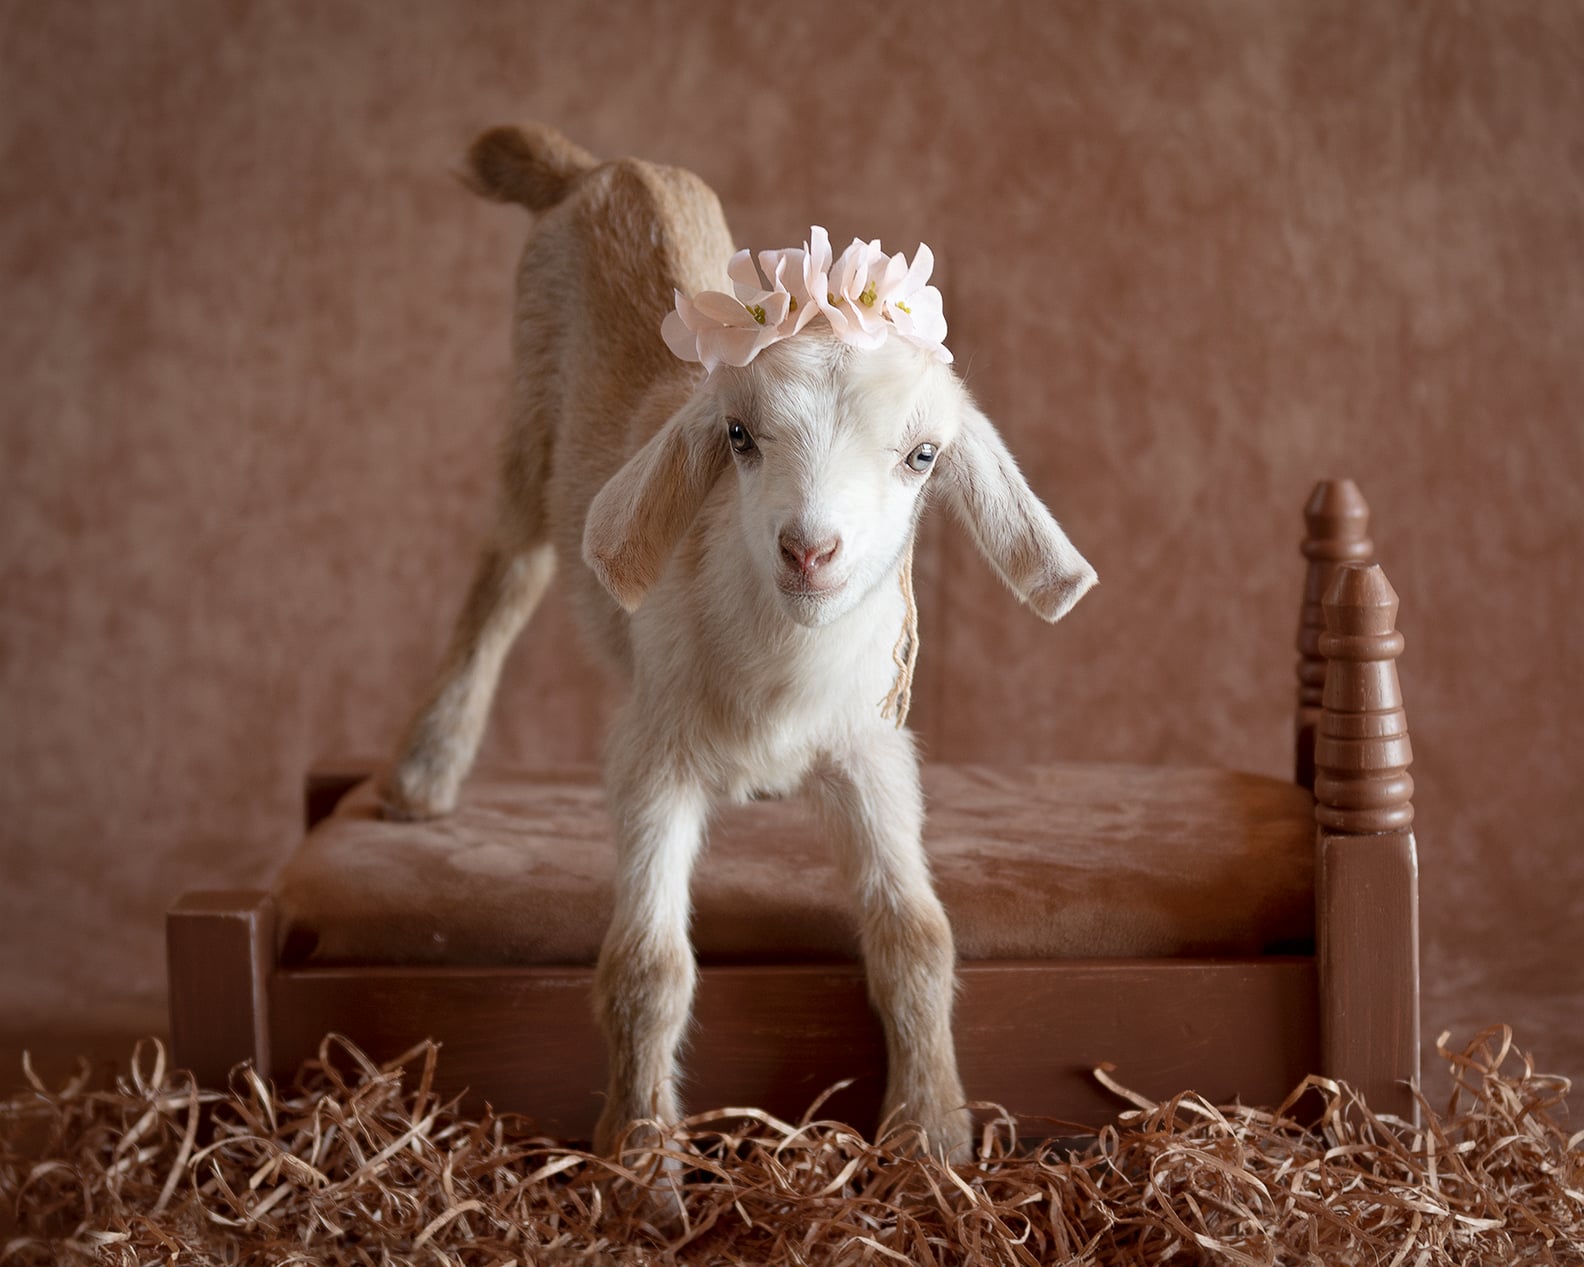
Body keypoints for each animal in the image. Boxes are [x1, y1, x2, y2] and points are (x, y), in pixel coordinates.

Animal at [379, 123, 1097, 1159]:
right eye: (738, 436)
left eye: (924, 455)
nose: (810, 549)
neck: (782, 671)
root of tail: (603, 169)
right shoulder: (651, 754)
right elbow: (647, 967)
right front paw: (641, 1158)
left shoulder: (871, 748)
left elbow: (919, 933)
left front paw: (930, 1131)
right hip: (525, 426)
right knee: (504, 573)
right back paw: (425, 768)